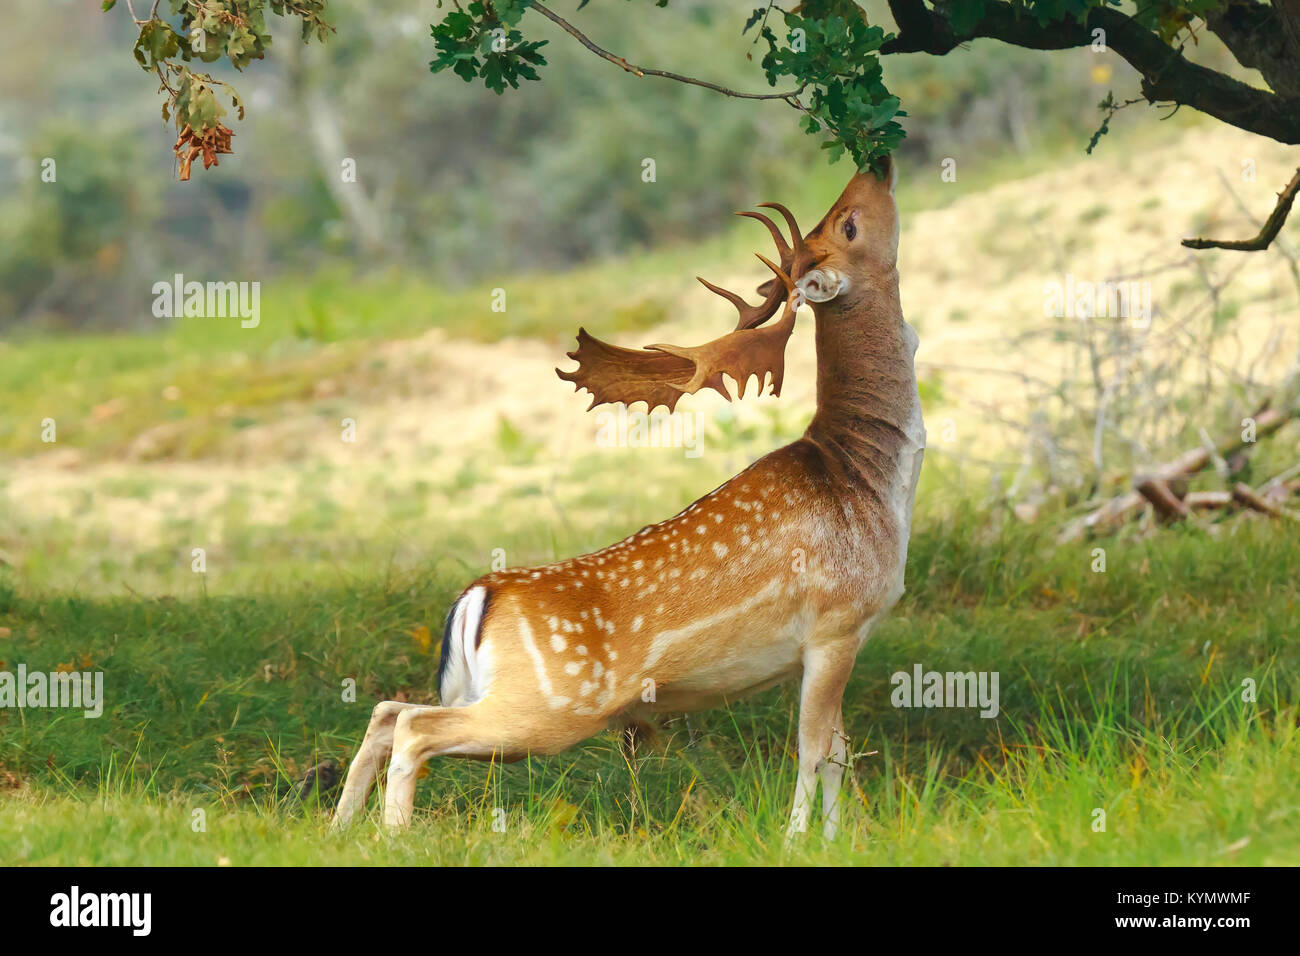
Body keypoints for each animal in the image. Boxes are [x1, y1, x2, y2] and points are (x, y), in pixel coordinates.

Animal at [333, 160, 925, 839]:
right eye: (849, 223)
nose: (876, 163)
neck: (867, 479)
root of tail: (478, 596)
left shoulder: (842, 637)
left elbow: (838, 753)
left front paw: (840, 837)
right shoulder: (834, 622)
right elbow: (813, 749)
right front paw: (797, 838)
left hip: (488, 692)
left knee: (386, 710)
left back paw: (340, 829)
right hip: (549, 705)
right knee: (412, 726)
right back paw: (394, 835)